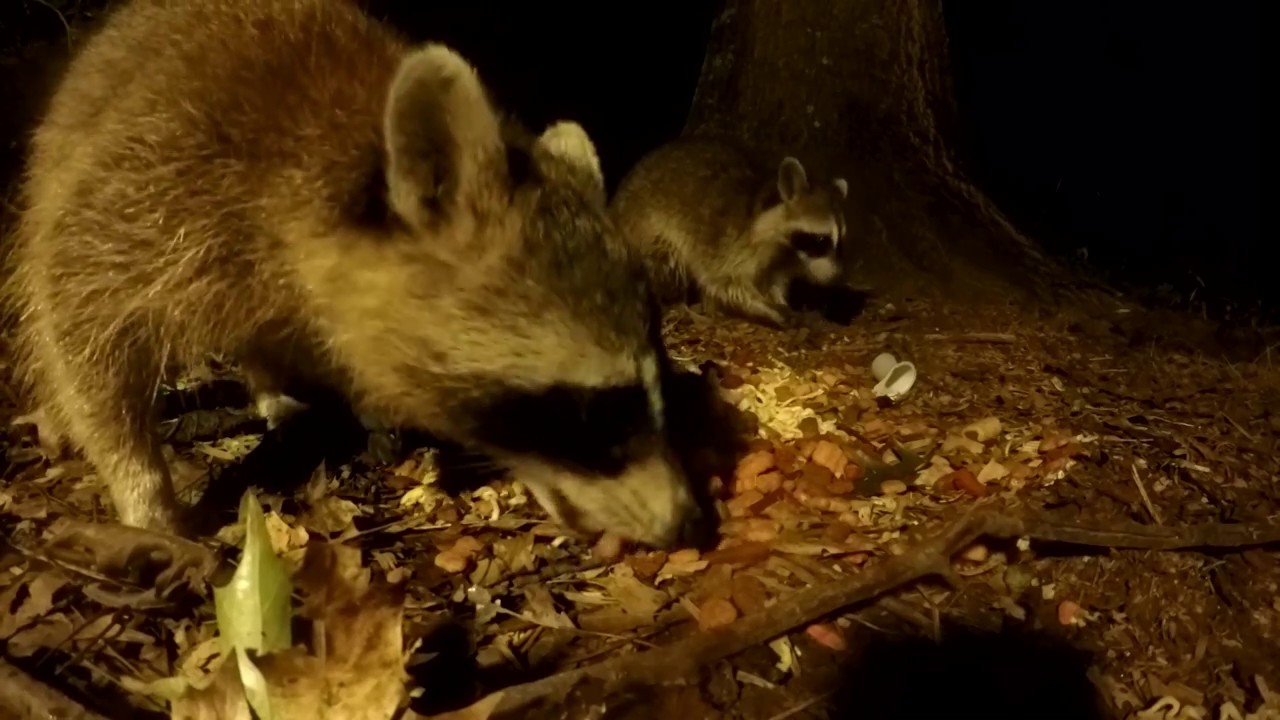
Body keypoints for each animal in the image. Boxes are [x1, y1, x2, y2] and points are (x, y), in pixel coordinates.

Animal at [609, 136, 850, 327]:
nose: (837, 278)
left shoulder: (781, 260)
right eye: (820, 239)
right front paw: (764, 306)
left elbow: (773, 282)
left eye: (841, 241)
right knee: (666, 264)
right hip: (646, 225)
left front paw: (778, 300)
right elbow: (725, 283)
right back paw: (679, 305)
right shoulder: (730, 244)